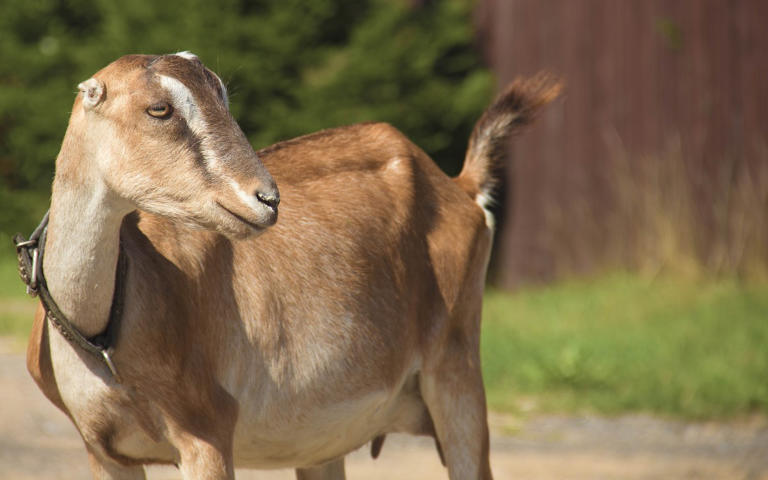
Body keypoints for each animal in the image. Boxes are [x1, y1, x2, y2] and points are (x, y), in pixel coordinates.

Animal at [22, 52, 559, 479]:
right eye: (159, 108)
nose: (265, 198)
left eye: (224, 98)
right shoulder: (104, 451)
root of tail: (460, 185)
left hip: (457, 374)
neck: (104, 322)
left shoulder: (206, 430)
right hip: (325, 441)